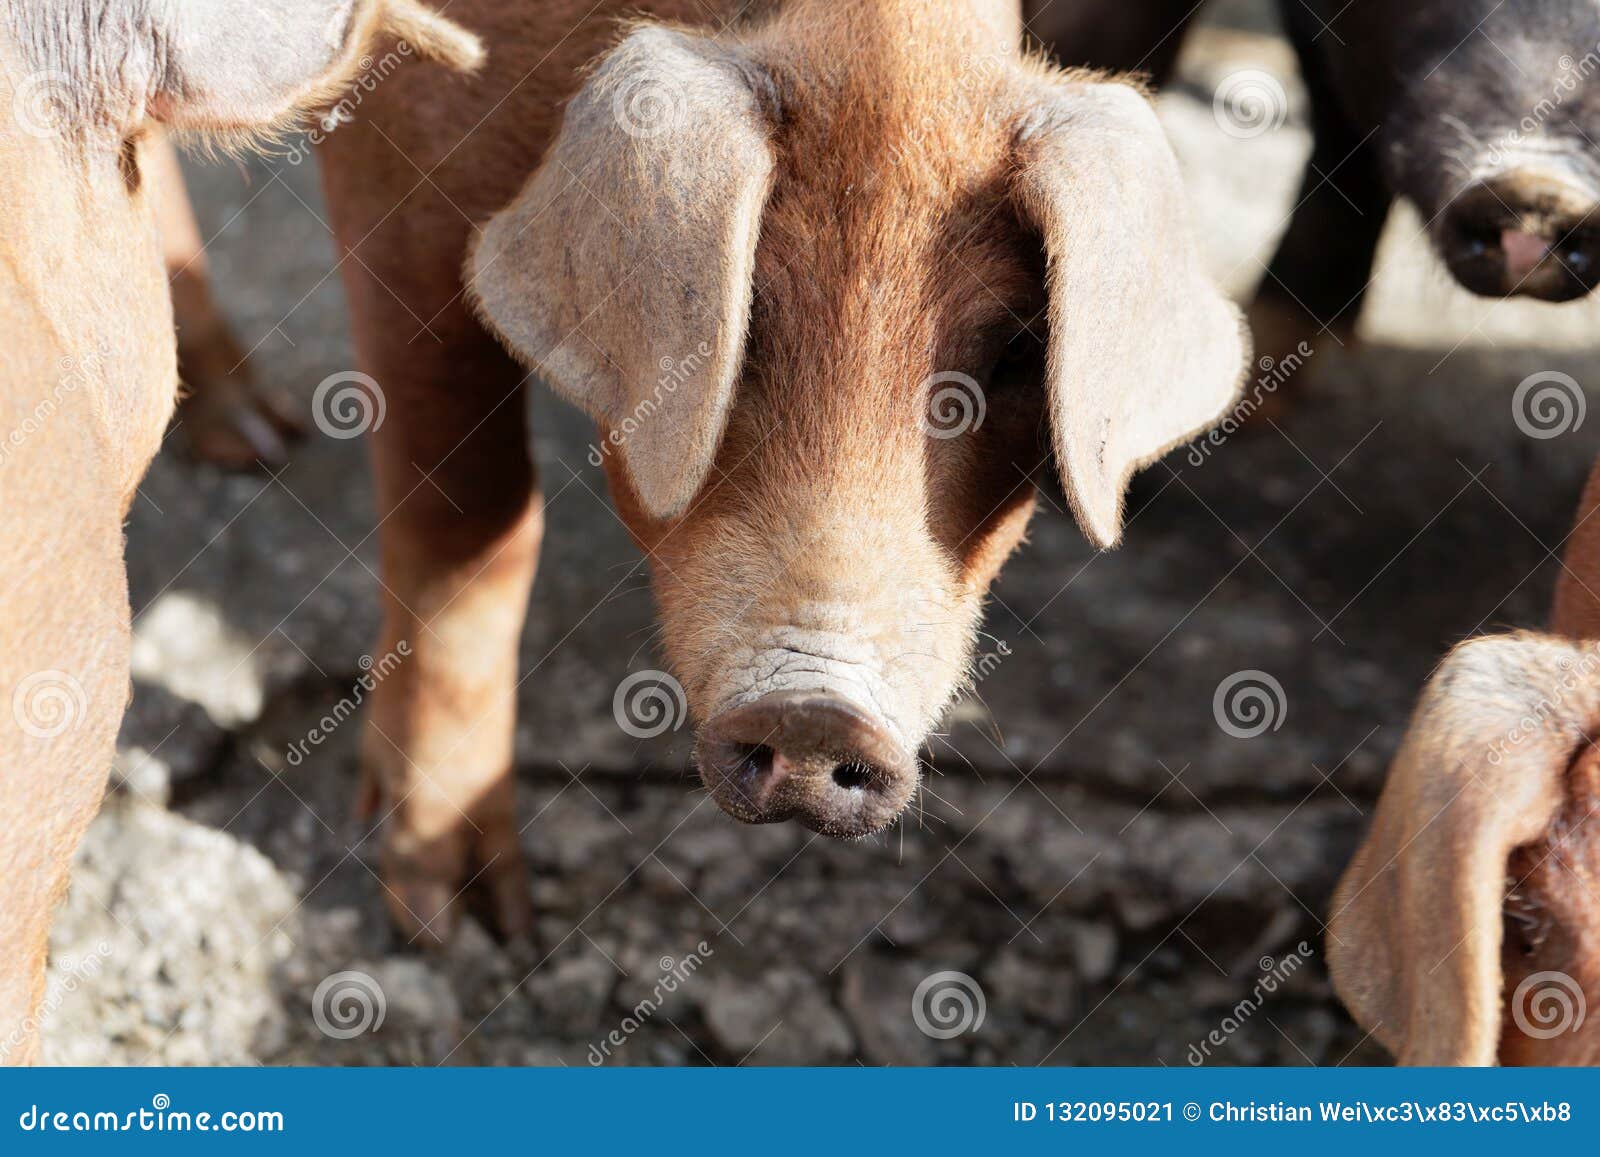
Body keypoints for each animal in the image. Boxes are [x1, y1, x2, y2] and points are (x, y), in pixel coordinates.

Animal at [315, 0, 1250, 943]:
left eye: (1016, 354)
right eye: (748, 320)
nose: (815, 711)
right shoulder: (398, 133)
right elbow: (471, 517)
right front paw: (459, 926)